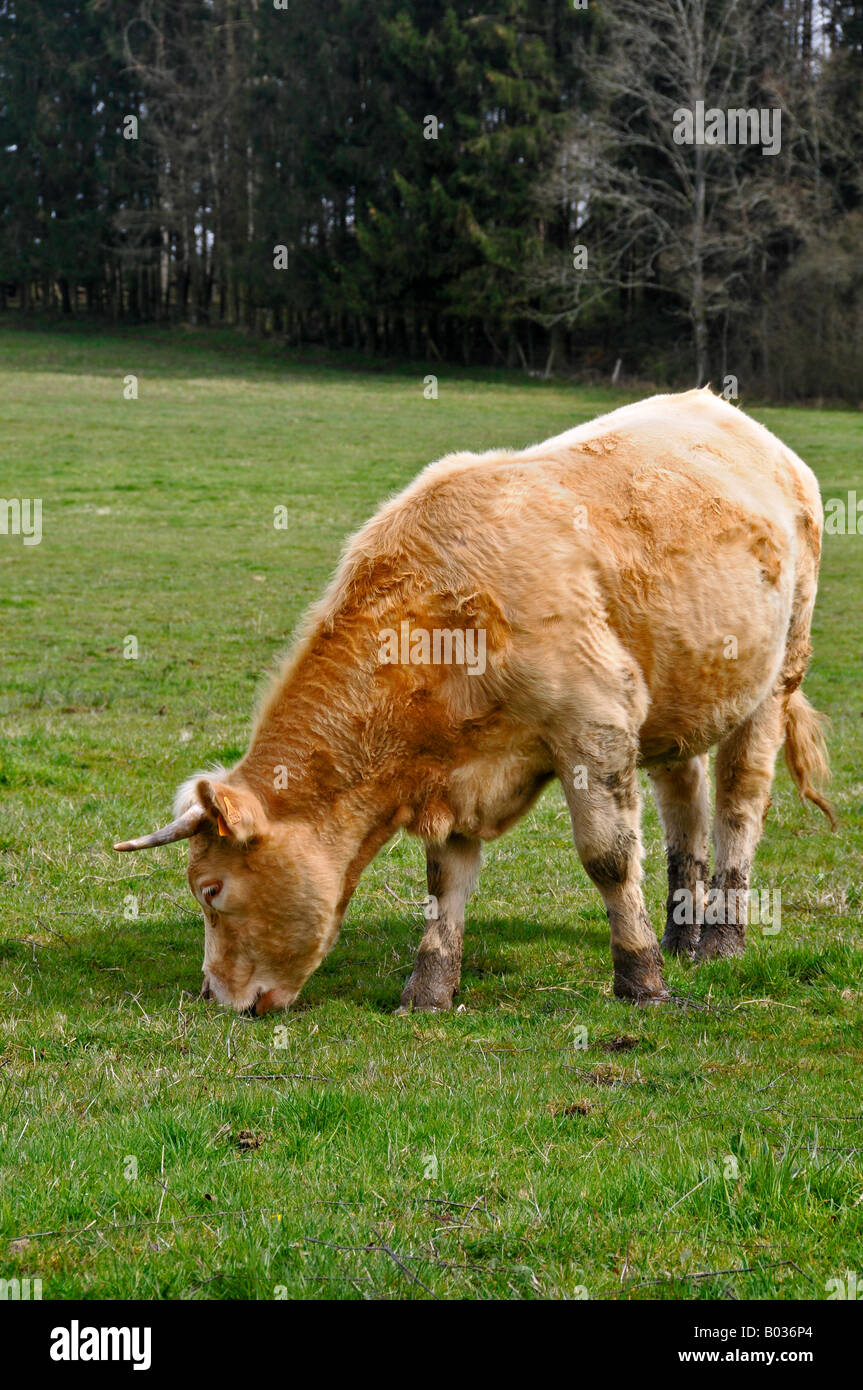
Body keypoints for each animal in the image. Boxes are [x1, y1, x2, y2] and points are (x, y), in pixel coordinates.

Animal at [115, 388, 835, 1014]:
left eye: (211, 890)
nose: (214, 995)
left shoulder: (592, 726)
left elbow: (607, 858)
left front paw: (640, 981)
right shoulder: (454, 770)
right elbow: (446, 883)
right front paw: (429, 989)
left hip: (774, 681)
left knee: (739, 804)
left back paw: (720, 938)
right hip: (676, 701)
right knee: (685, 805)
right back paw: (682, 932)